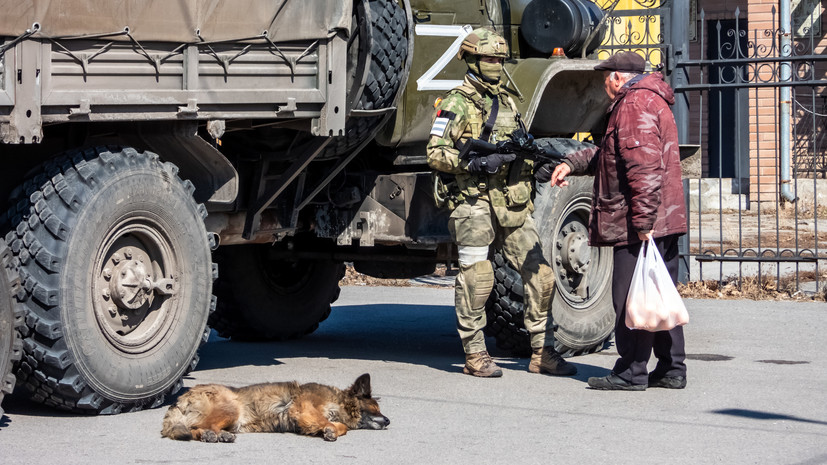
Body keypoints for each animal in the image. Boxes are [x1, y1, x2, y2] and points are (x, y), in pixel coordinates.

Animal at [160, 372, 390, 440]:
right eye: (376, 409)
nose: (388, 420)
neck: (339, 401)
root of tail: (182, 398)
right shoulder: (304, 407)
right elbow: (331, 422)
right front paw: (329, 429)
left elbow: (340, 426)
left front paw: (329, 429)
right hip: (231, 408)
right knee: (197, 427)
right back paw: (215, 435)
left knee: (194, 429)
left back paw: (214, 435)